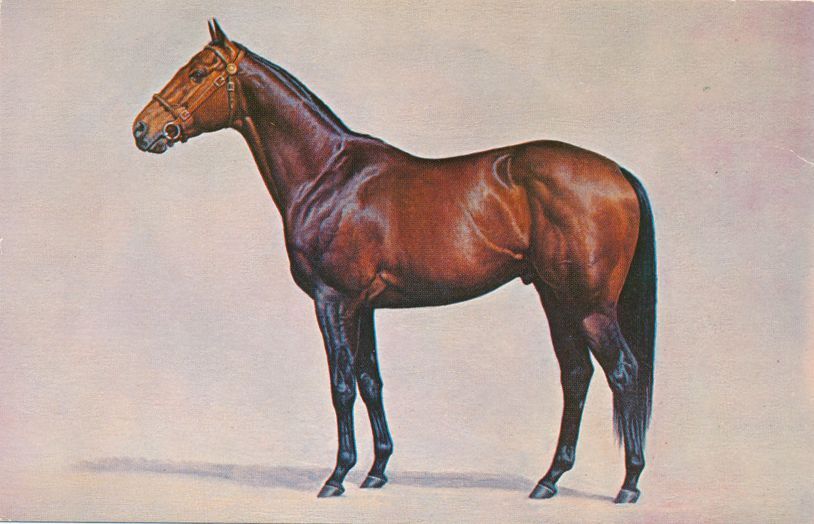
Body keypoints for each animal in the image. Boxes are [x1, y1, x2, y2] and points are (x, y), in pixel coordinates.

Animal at [133, 19, 656, 504]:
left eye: (198, 72)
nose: (143, 129)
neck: (328, 175)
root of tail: (617, 172)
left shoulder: (332, 300)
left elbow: (341, 384)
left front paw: (337, 476)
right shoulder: (363, 305)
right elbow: (370, 381)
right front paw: (377, 470)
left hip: (589, 306)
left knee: (624, 373)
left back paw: (628, 485)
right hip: (556, 299)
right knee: (577, 375)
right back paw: (549, 480)